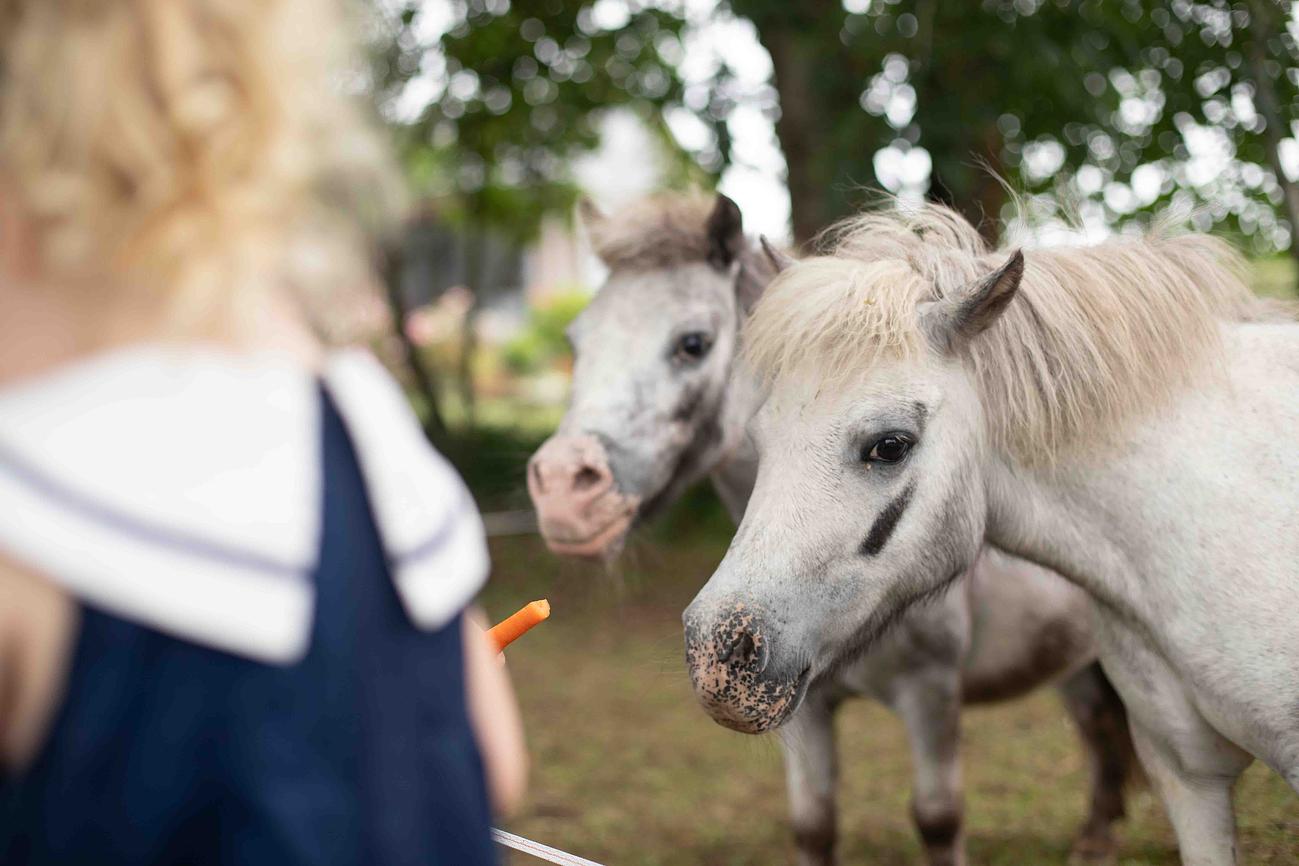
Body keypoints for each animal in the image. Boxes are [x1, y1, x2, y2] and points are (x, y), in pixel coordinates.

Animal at [529, 192, 1135, 866]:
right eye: (576, 340)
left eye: (693, 343)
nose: (562, 490)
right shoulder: (803, 704)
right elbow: (814, 823)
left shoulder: (931, 696)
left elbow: (939, 819)